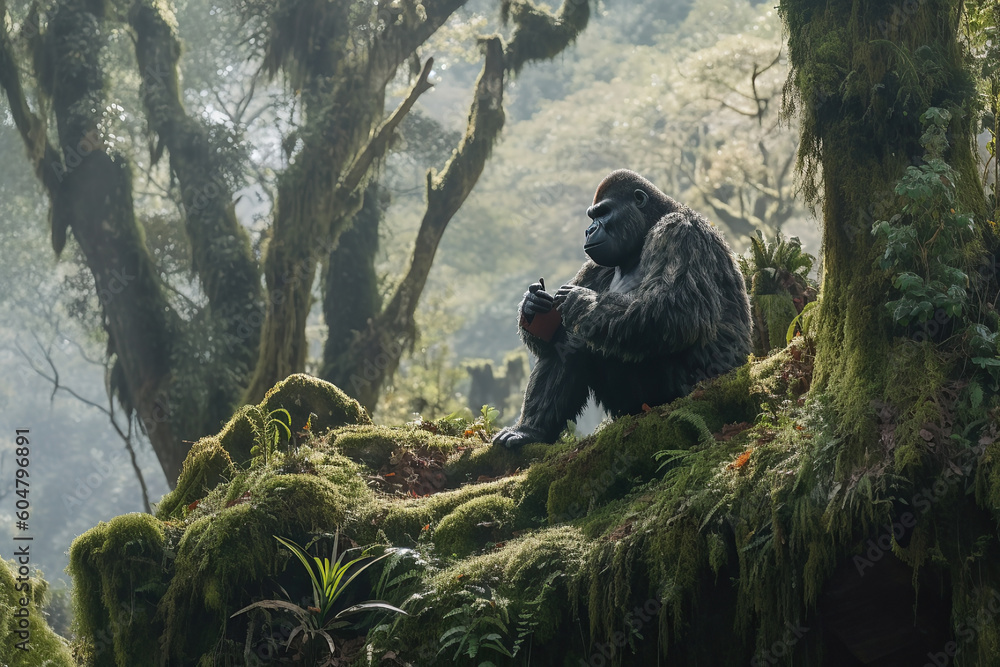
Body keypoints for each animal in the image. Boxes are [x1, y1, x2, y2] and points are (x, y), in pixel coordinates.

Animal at [492, 169, 752, 449]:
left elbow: (673, 311)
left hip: (690, 389)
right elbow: (550, 338)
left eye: (604, 213)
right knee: (567, 341)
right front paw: (532, 305)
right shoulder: (593, 266)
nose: (589, 230)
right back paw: (530, 431)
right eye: (593, 216)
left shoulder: (681, 231)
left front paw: (581, 300)